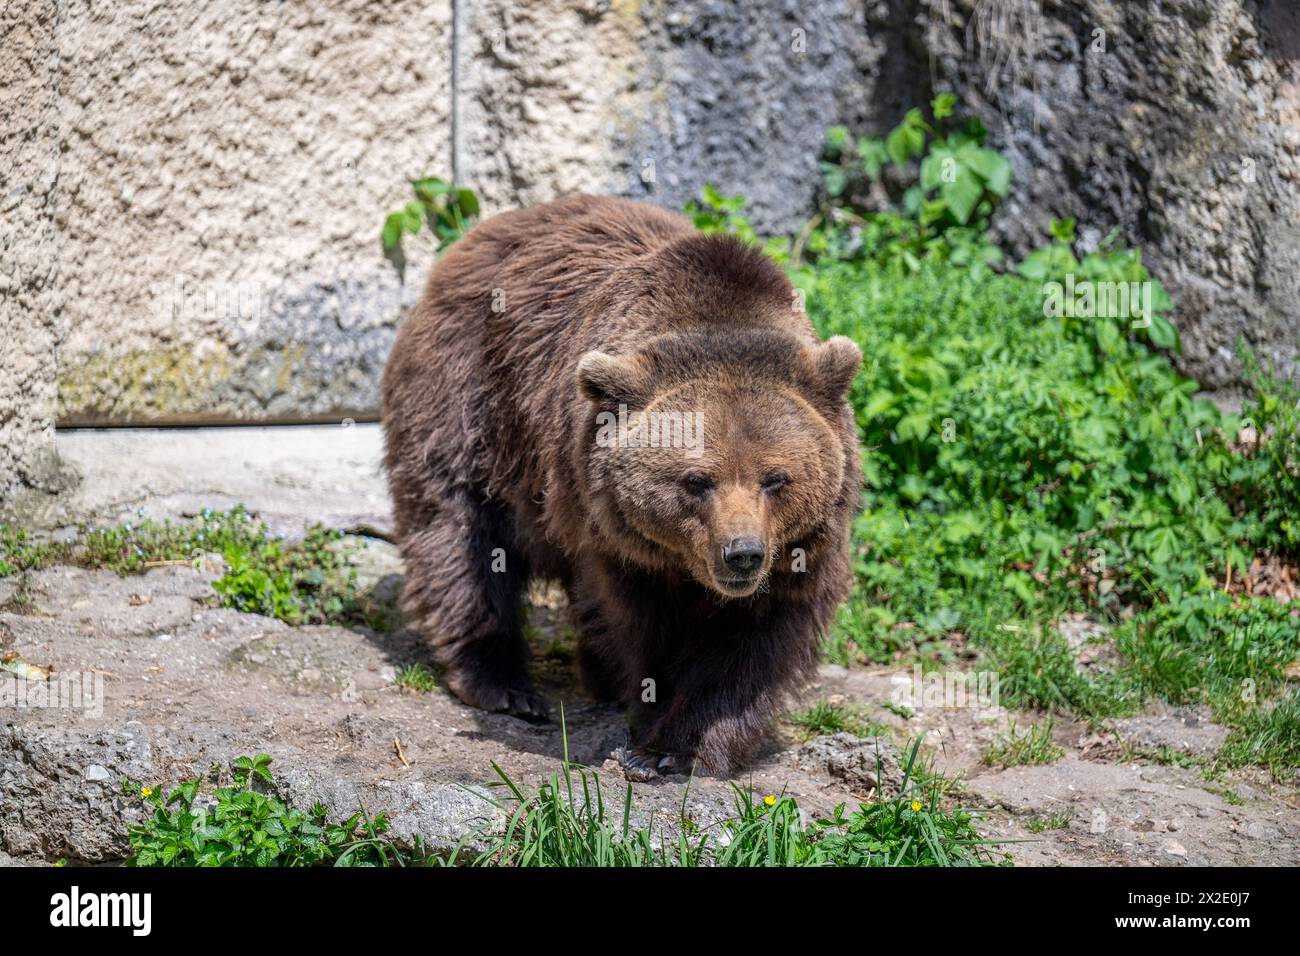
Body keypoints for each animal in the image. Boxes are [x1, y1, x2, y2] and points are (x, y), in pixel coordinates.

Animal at [381, 195, 862, 776]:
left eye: (775, 478)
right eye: (697, 481)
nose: (742, 553)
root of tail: (478, 235)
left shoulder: (798, 551)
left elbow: (755, 643)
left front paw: (684, 744)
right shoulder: (613, 536)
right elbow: (633, 623)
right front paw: (648, 721)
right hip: (468, 397)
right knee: (459, 534)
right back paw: (503, 682)